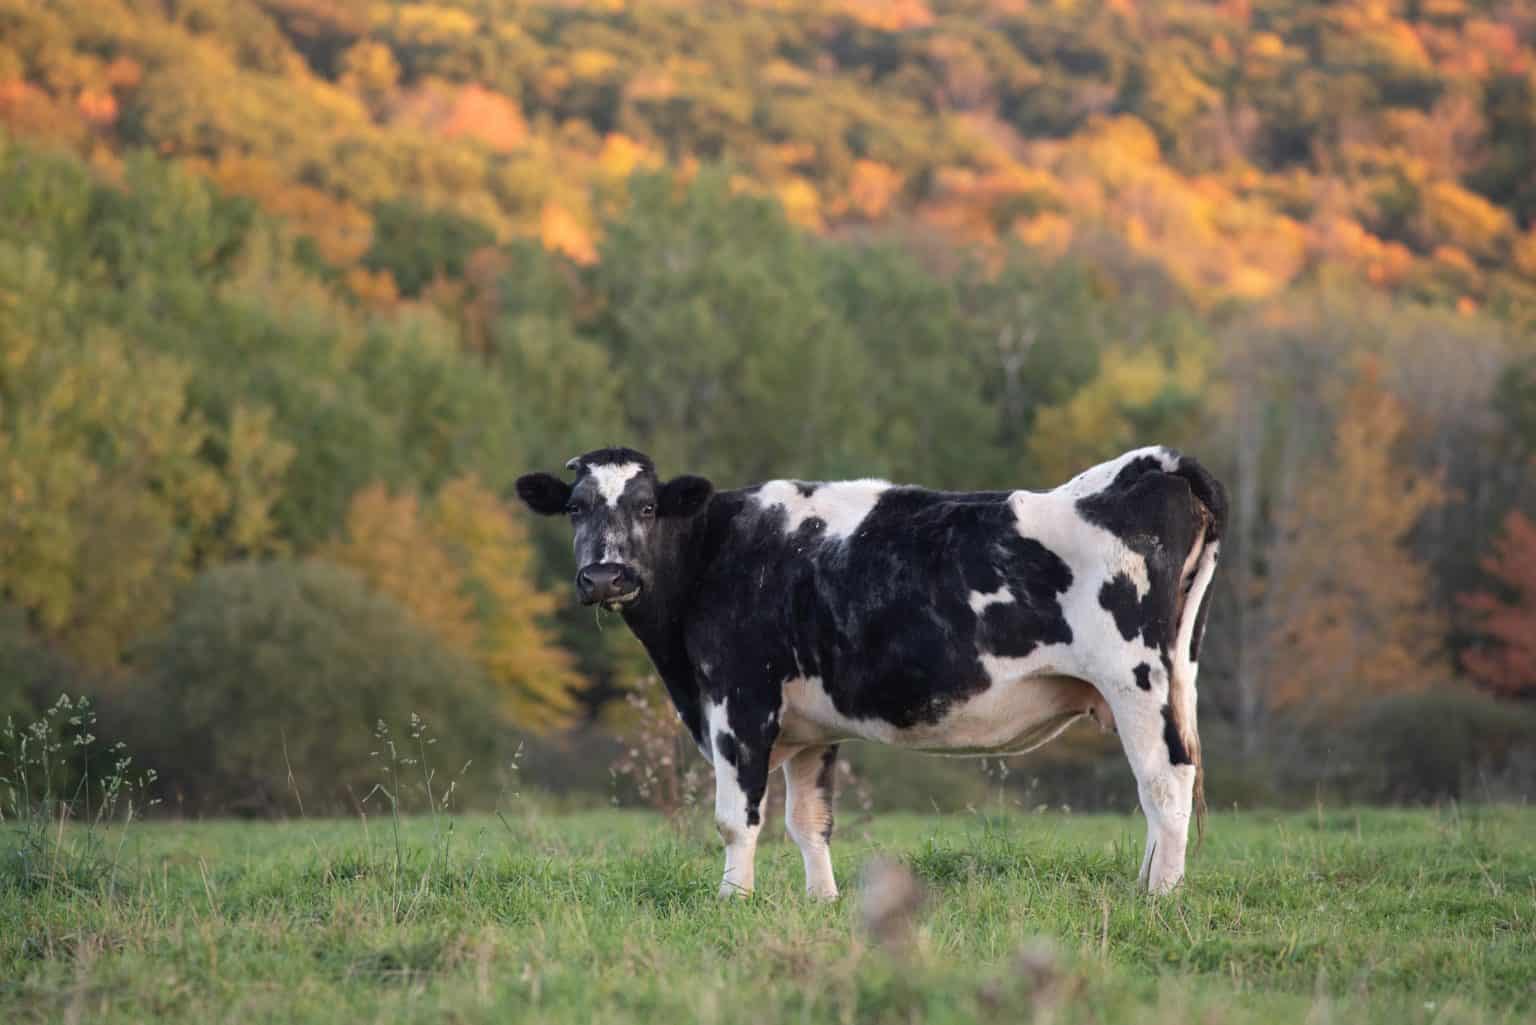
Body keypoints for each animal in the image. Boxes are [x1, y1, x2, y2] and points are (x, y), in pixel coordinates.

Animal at [516, 445, 1227, 897]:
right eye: (575, 507)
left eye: (645, 508)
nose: (605, 576)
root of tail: (1153, 464)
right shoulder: (810, 727)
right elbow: (809, 822)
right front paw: (823, 902)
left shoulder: (738, 701)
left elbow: (736, 818)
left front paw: (733, 901)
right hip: (1175, 677)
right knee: (1169, 783)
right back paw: (1148, 883)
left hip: (1136, 678)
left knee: (1165, 783)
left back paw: (1160, 897)